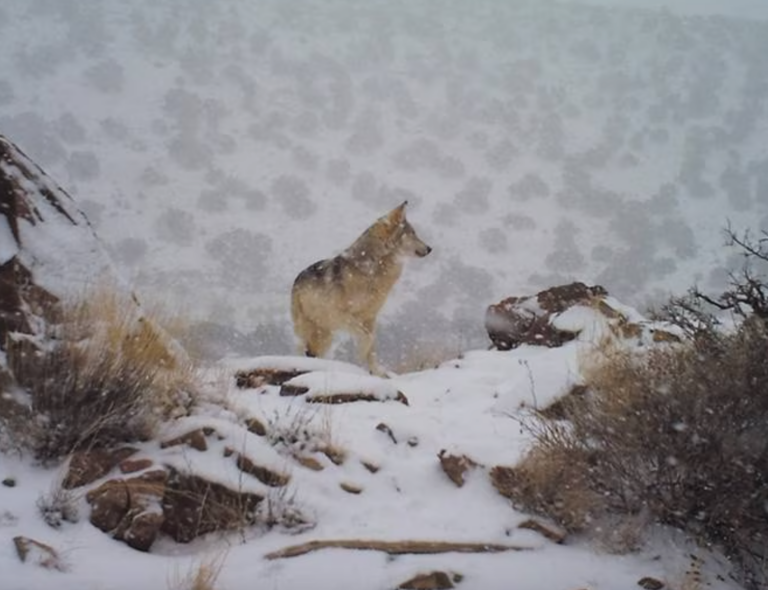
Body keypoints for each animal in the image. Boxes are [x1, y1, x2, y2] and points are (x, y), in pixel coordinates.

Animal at [291, 201, 432, 376]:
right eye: (412, 233)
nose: (429, 248)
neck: (373, 267)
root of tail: (297, 279)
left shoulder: (370, 318)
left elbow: (371, 345)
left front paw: (376, 372)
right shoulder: (342, 314)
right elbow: (366, 338)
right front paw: (361, 356)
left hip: (325, 334)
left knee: (313, 351)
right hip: (313, 328)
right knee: (306, 349)